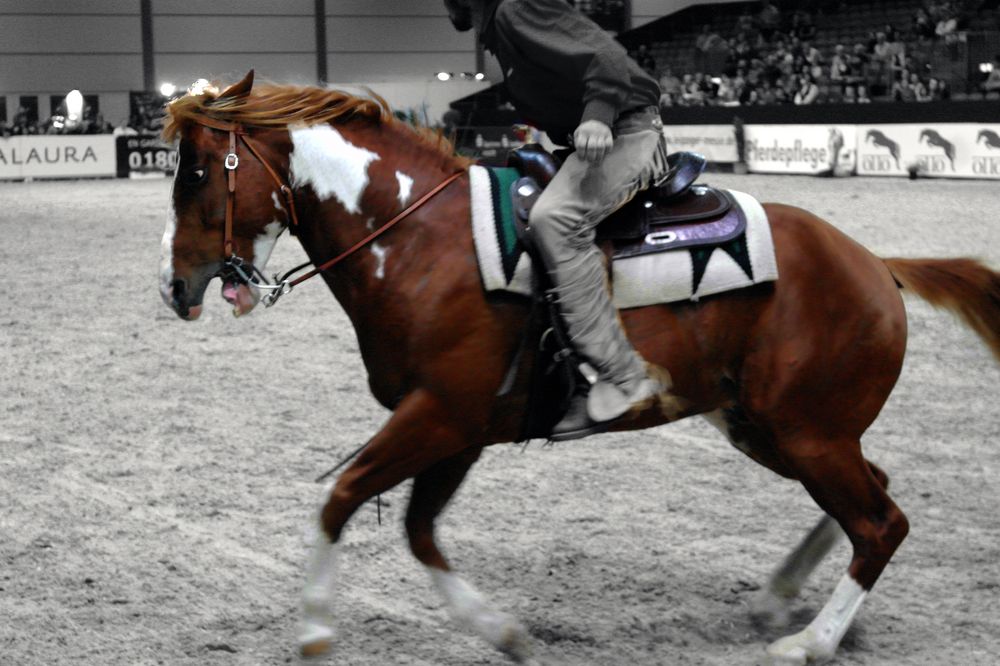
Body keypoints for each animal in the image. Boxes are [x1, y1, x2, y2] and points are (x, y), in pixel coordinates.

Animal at [158, 72, 1000, 665]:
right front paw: (501, 630)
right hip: (769, 426)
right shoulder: (458, 430)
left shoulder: (440, 414)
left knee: (882, 524)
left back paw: (808, 641)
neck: (419, 240)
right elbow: (419, 530)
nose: (174, 288)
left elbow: (343, 497)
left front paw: (313, 631)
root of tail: (876, 265)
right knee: (867, 504)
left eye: (195, 171)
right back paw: (783, 600)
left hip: (808, 433)